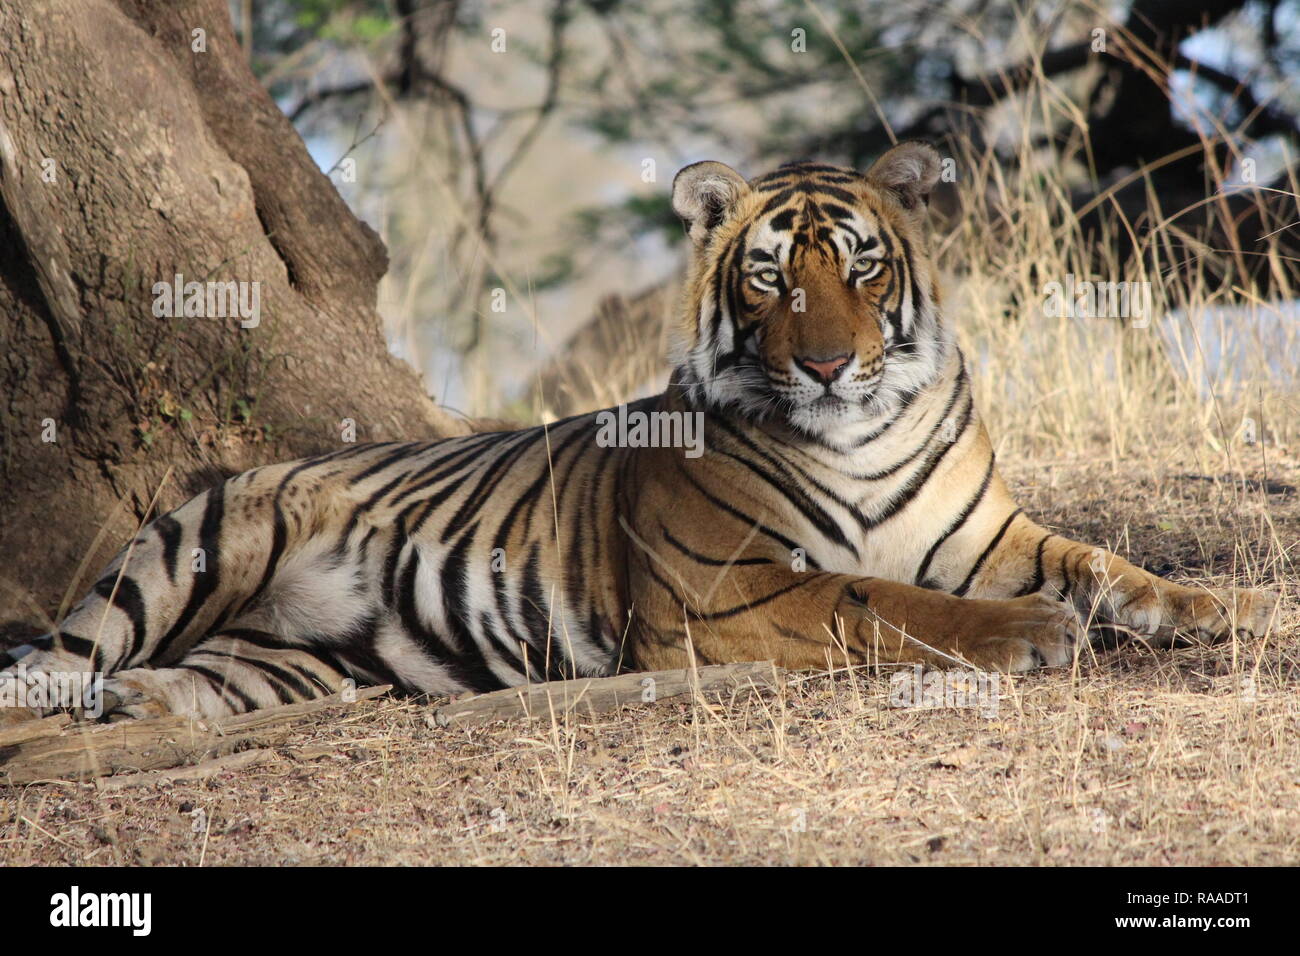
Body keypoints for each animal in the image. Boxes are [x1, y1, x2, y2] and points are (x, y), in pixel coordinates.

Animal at [0, 141, 1277, 724]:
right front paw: (1030, 633)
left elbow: (1103, 559)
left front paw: (1233, 603)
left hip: (282, 660)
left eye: (861, 265)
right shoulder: (727, 587)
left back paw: (143, 706)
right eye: (769, 276)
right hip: (194, 544)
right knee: (59, 656)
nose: (826, 361)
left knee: (174, 676)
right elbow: (882, 598)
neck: (859, 427)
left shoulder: (984, 532)